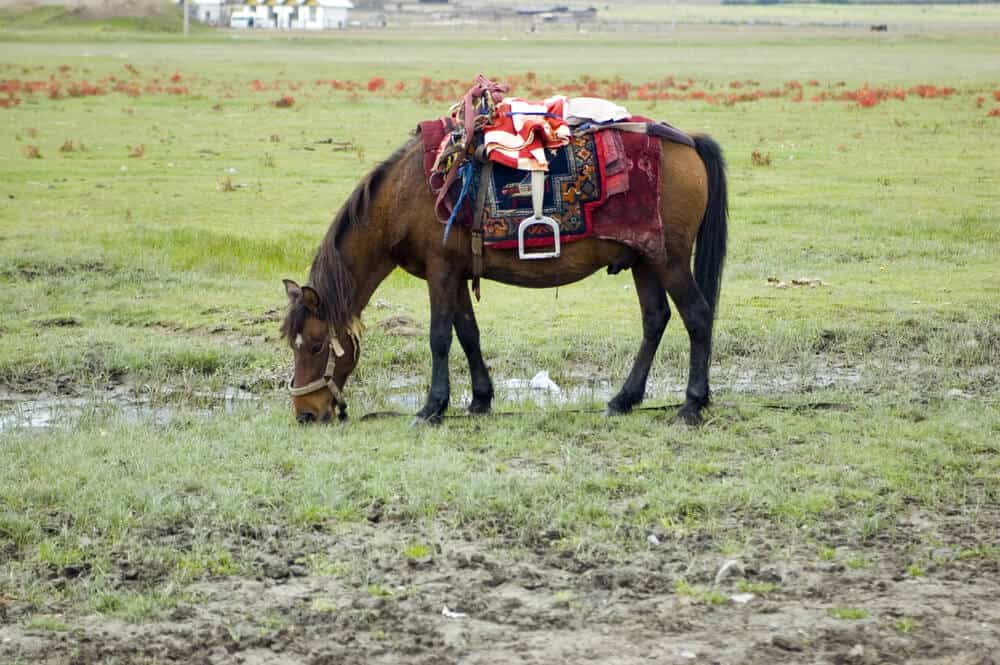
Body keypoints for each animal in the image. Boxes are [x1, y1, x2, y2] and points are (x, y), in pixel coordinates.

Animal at [280, 127, 728, 425]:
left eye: (317, 345)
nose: (305, 414)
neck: (404, 197)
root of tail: (688, 141)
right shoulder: (456, 273)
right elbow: (468, 333)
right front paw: (480, 401)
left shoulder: (440, 272)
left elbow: (439, 338)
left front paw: (431, 409)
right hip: (643, 259)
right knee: (655, 320)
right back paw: (624, 400)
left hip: (669, 260)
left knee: (697, 317)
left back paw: (691, 405)